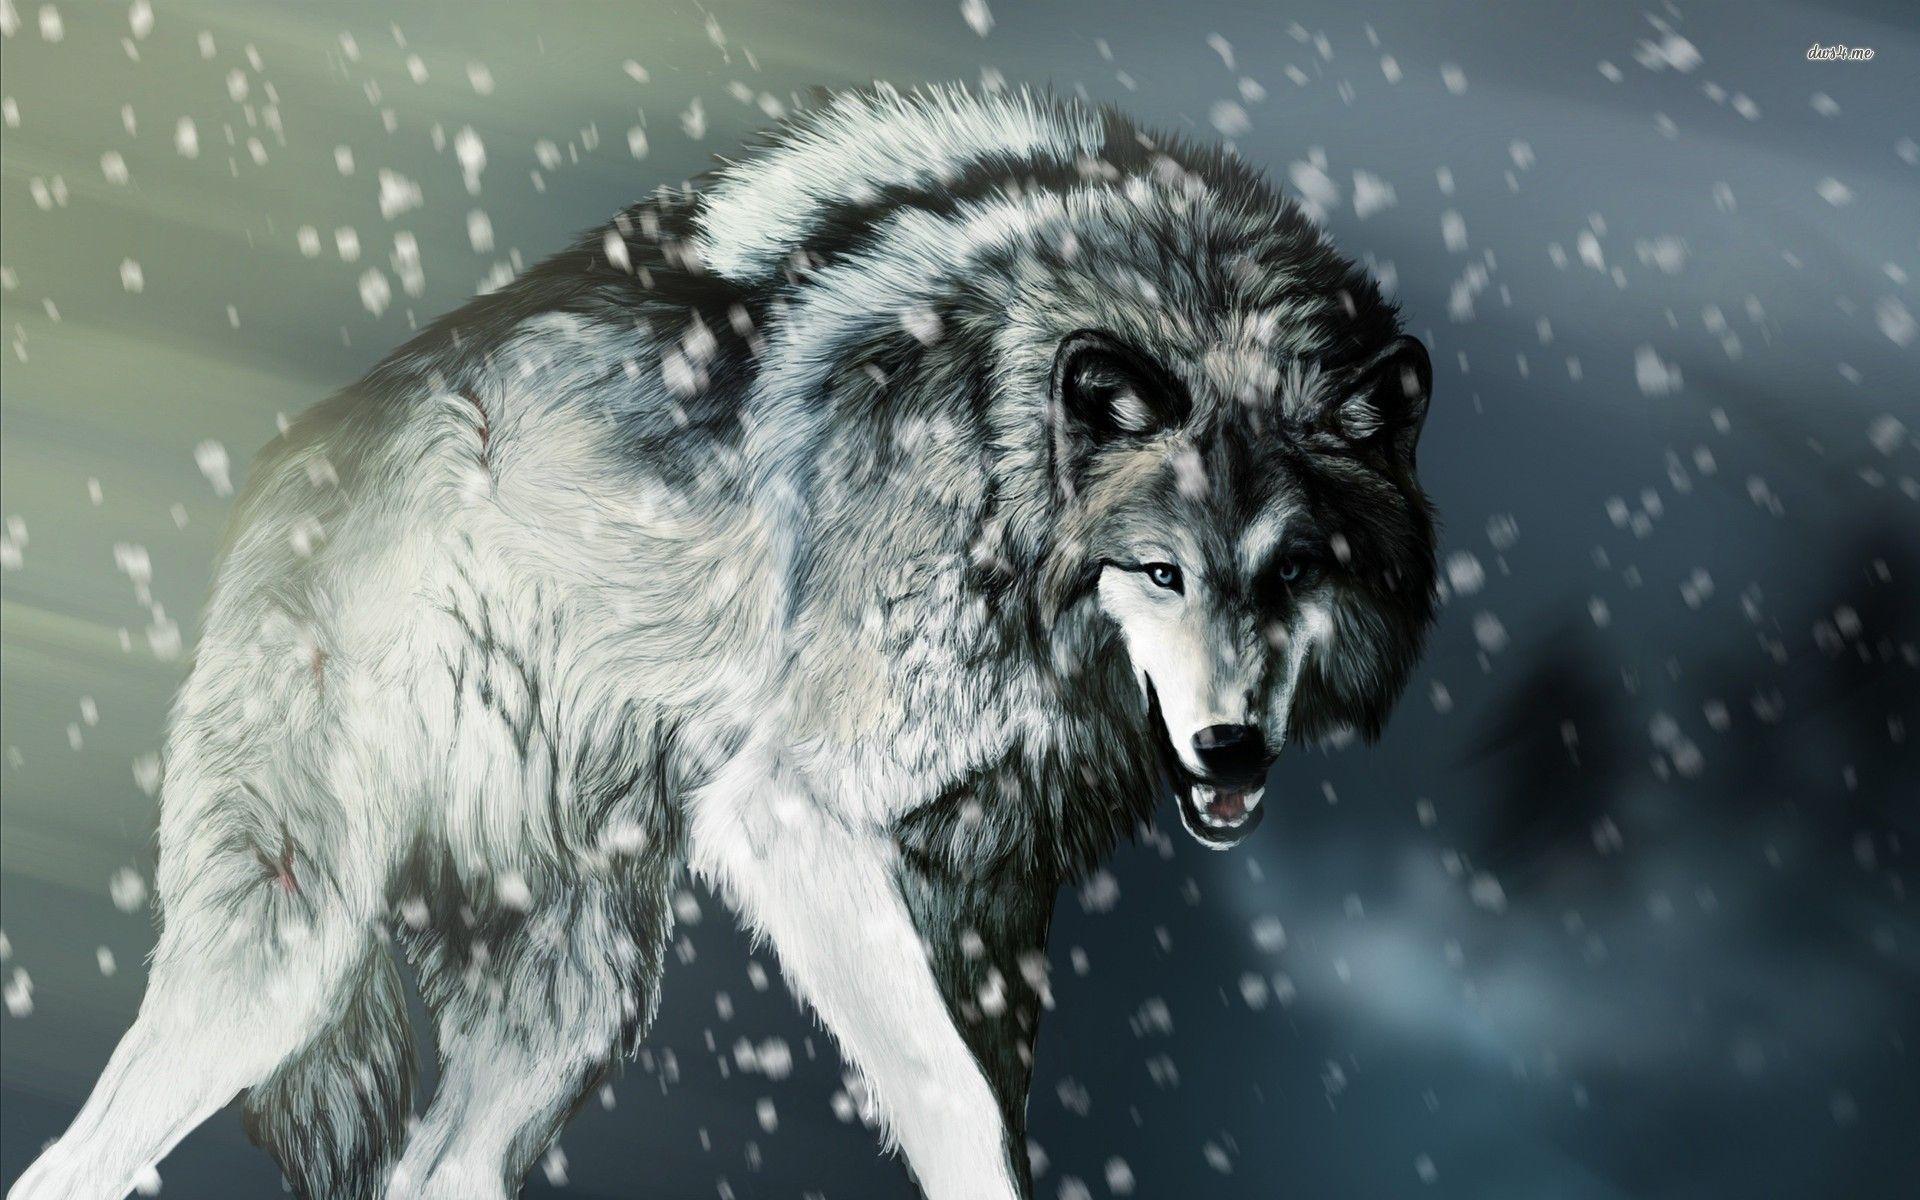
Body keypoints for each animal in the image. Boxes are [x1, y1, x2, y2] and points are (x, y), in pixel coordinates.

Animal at [10, 84, 1437, 1200]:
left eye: (1295, 570)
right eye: (1160, 571)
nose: (1231, 745)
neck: (1005, 471)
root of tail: (288, 461)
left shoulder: (990, 905)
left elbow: (996, 1111)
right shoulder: (790, 816)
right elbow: (950, 1102)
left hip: (576, 1001)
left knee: (439, 1164)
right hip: (288, 957)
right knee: (73, 1156)